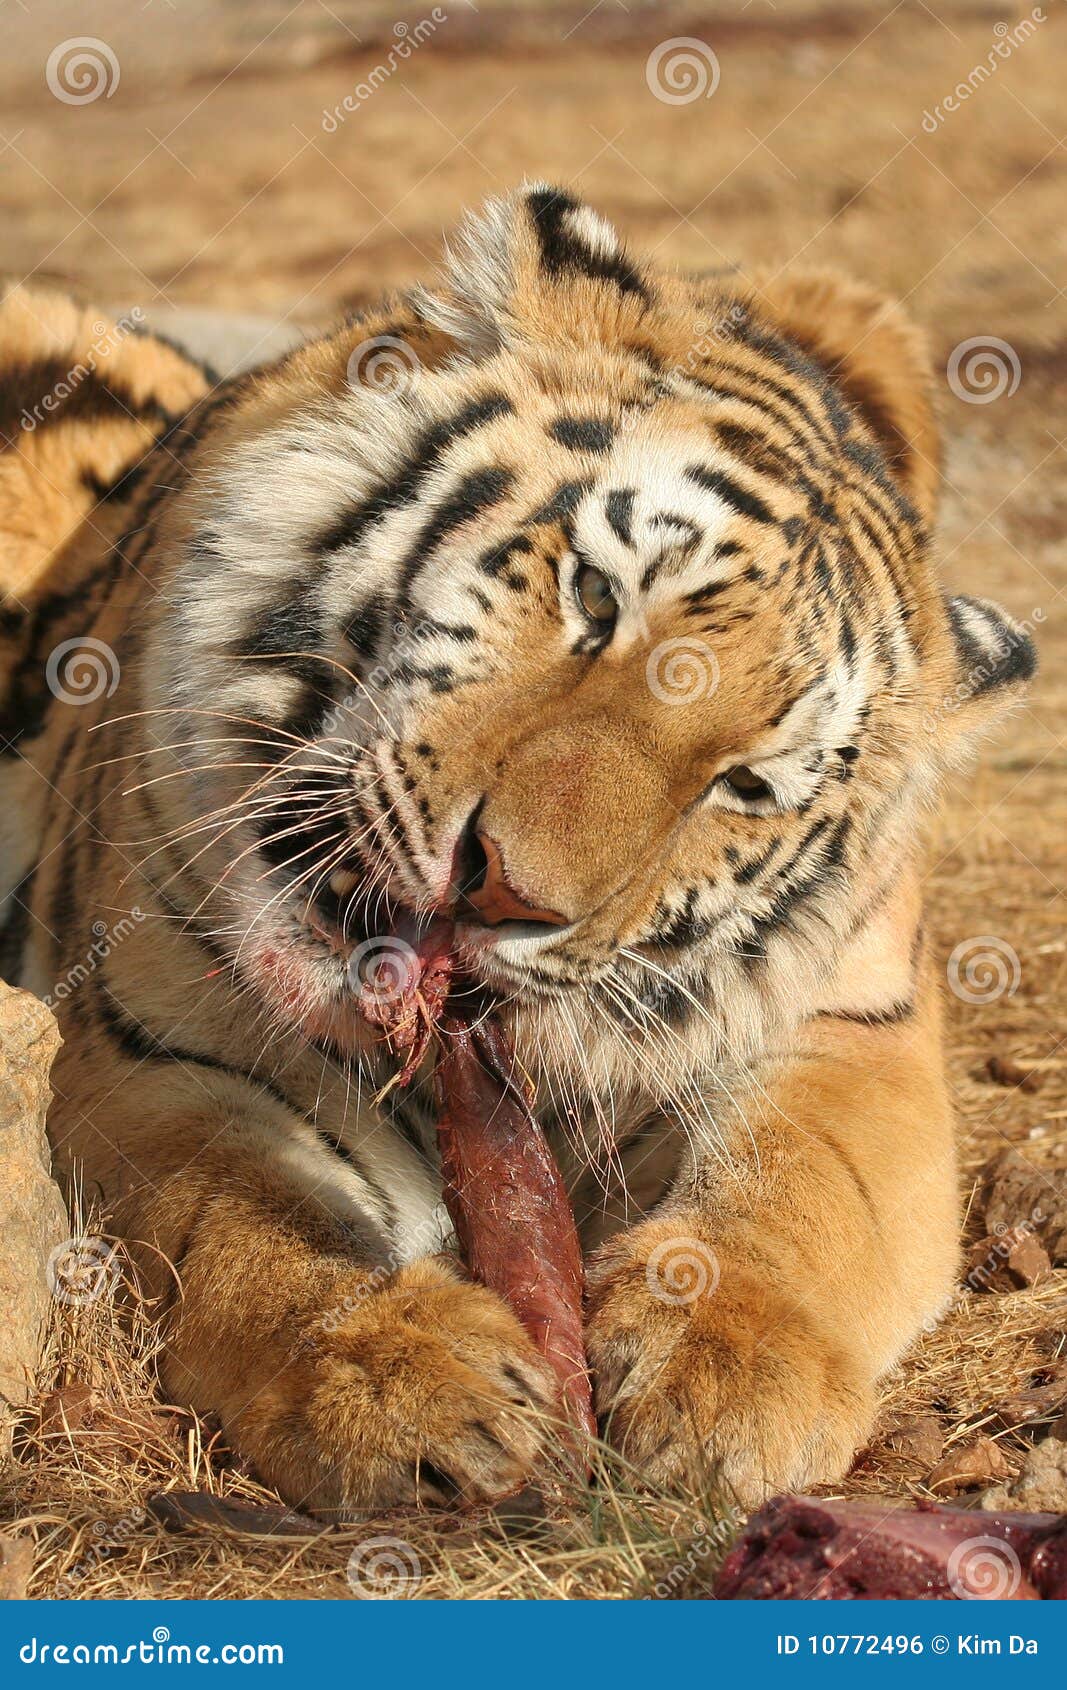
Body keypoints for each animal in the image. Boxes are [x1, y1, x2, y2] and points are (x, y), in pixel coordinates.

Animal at [0, 185, 1036, 1516]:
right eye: (596, 596)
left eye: (742, 784)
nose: (502, 888)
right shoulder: (147, 1046)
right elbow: (250, 1217)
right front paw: (402, 1380)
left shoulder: (856, 1023)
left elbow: (803, 1189)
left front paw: (719, 1377)